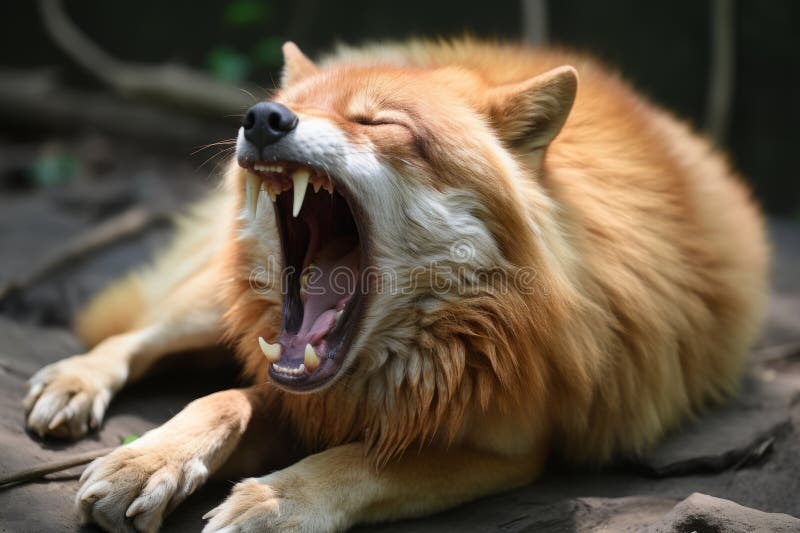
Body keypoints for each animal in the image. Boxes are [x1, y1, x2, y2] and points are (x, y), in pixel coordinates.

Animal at [23, 39, 767, 532]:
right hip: (212, 304)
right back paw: (74, 382)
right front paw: (145, 461)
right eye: (289, 108)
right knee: (135, 335)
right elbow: (220, 402)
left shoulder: (510, 443)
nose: (262, 117)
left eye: (378, 123)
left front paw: (276, 501)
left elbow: (361, 462)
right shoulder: (299, 389)